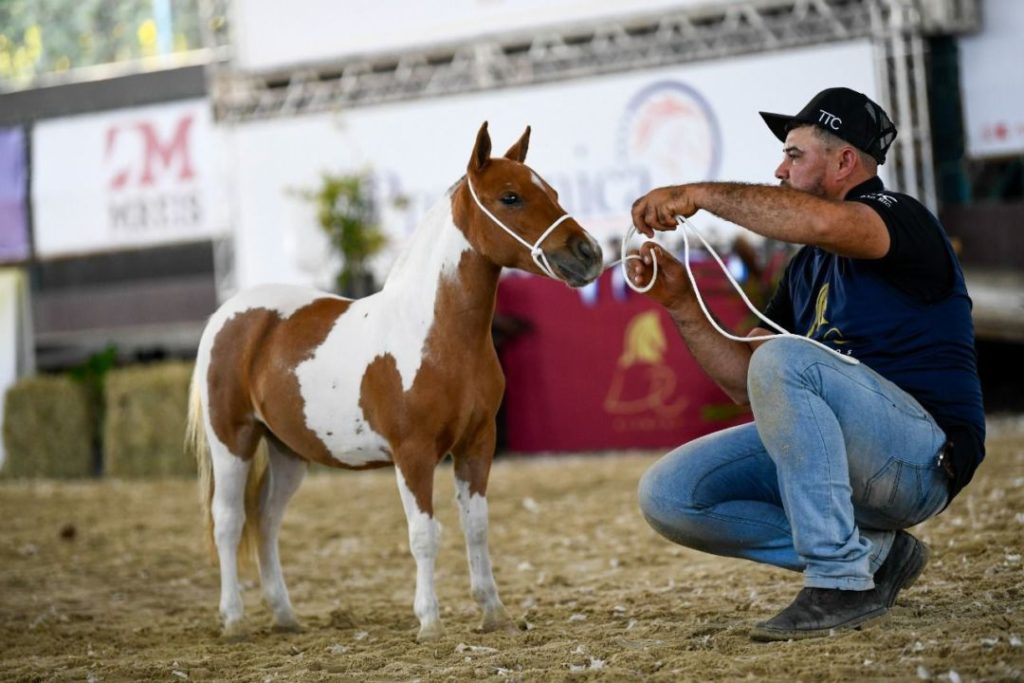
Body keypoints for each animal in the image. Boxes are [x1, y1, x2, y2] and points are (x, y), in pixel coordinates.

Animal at [185, 122, 603, 641]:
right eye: (510, 196)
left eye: (553, 192)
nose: (588, 254)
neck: (437, 335)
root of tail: (229, 314)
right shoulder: (414, 453)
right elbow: (425, 534)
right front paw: (429, 622)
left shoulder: (477, 443)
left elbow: (476, 526)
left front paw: (493, 613)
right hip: (233, 440)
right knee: (227, 520)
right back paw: (235, 619)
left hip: (288, 452)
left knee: (265, 520)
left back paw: (284, 616)